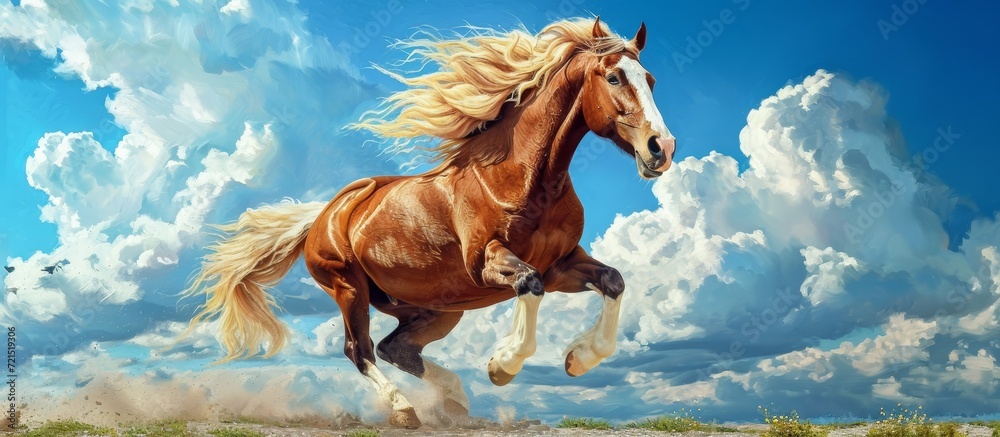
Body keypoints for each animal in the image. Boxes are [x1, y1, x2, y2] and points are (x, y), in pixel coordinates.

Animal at [184, 17, 675, 428]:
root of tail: (324, 215)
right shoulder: (488, 261)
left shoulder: (564, 264)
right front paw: (502, 365)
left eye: (651, 80)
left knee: (396, 348)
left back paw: (456, 402)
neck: (522, 178)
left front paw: (578, 358)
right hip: (349, 289)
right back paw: (406, 411)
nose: (662, 148)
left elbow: (613, 281)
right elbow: (528, 284)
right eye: (613, 77)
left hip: (436, 309)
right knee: (361, 350)